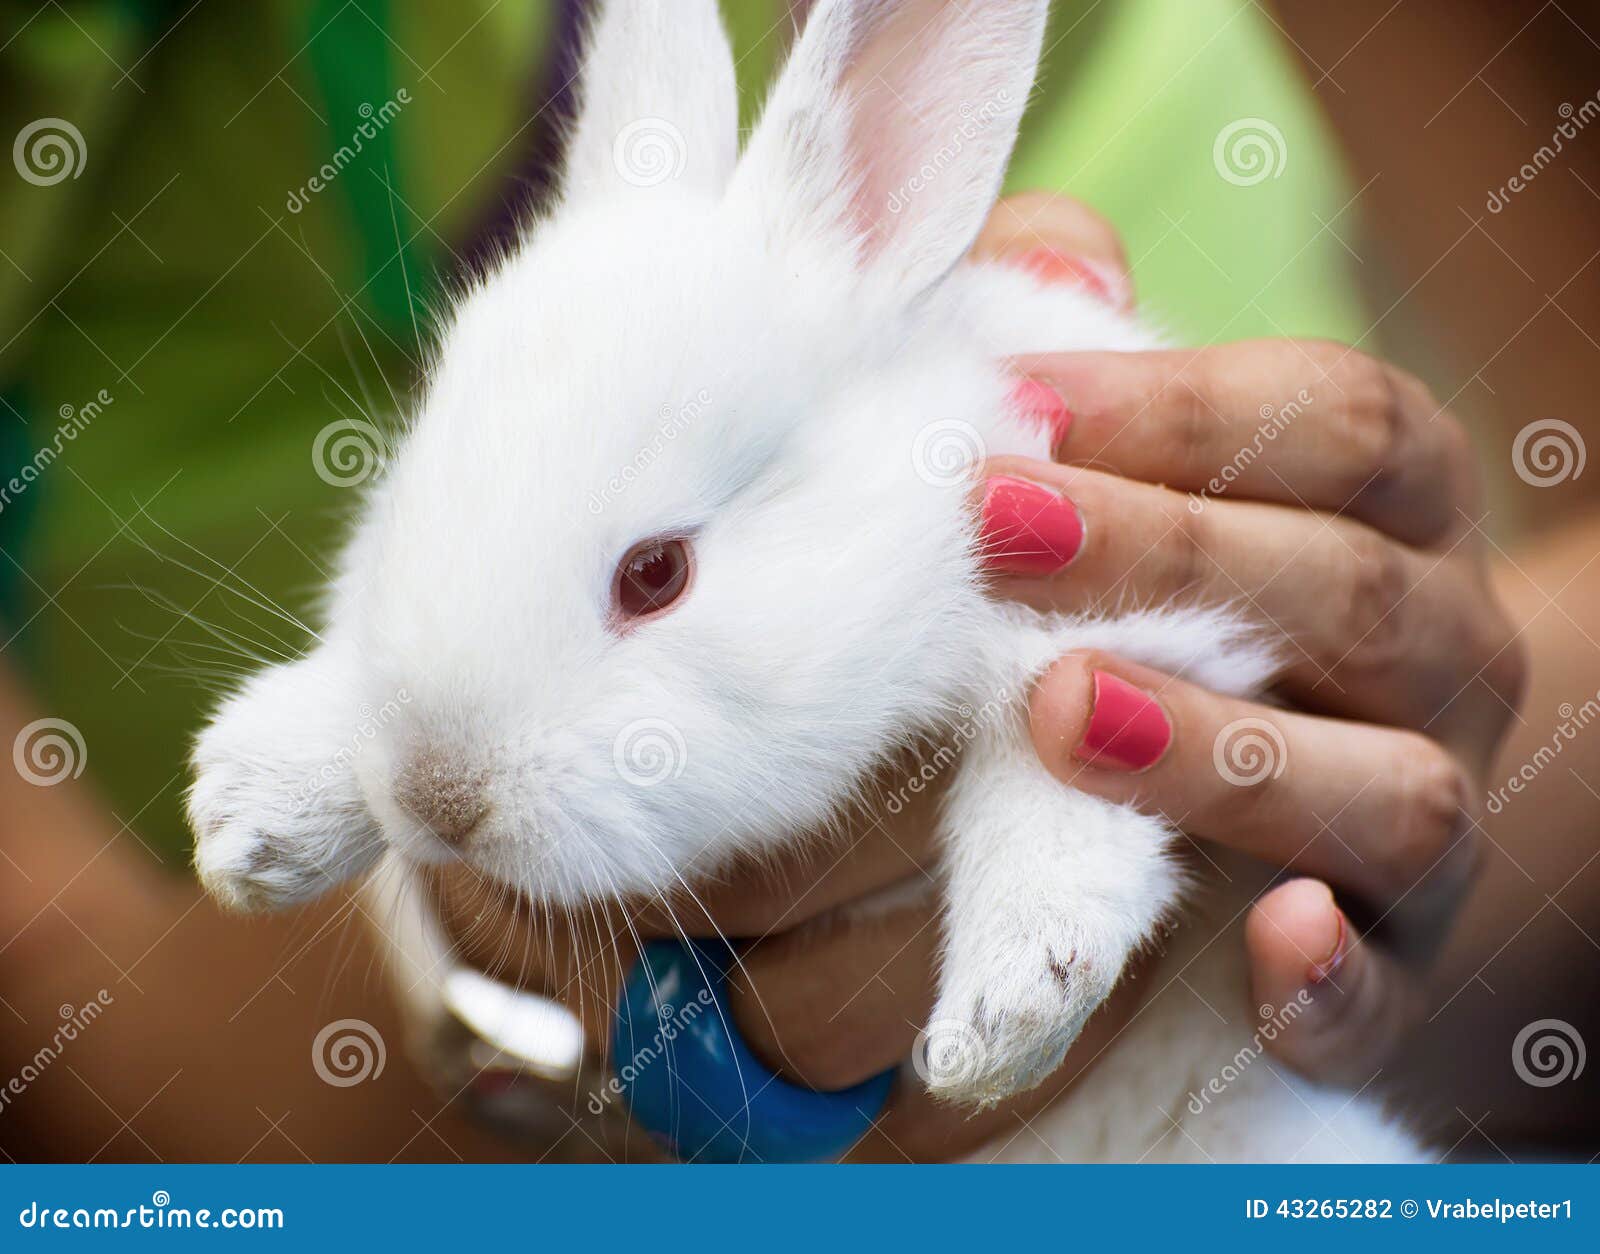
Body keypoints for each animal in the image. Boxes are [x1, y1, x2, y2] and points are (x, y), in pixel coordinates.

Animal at [187, 0, 1424, 1160]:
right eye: (417, 487)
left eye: (655, 575)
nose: (443, 799)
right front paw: (252, 820)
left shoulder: (1131, 645)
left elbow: (1062, 792)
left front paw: (1005, 1017)